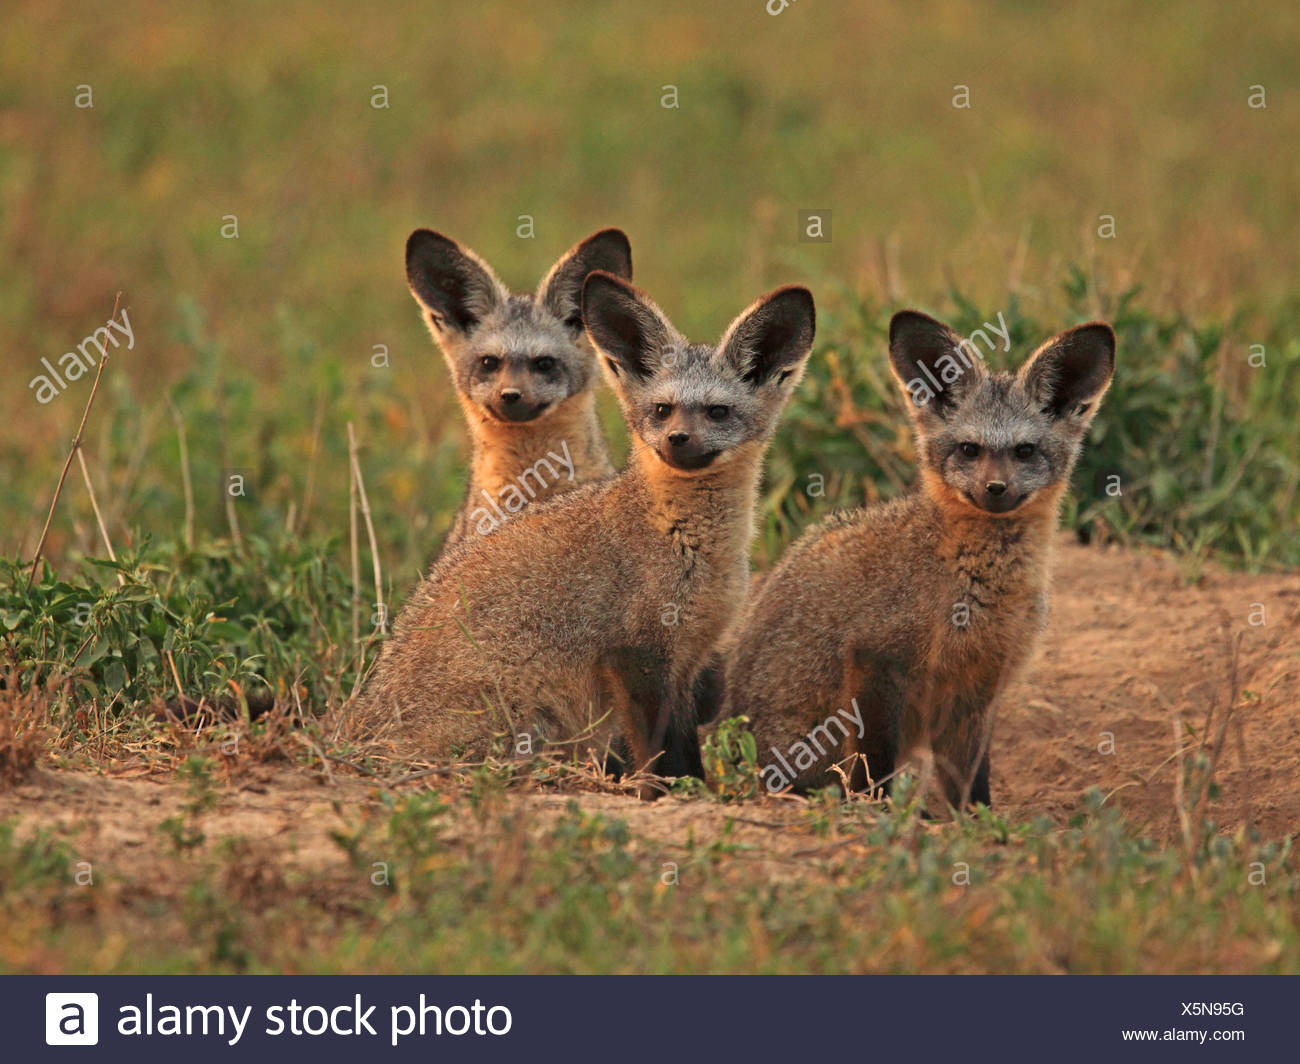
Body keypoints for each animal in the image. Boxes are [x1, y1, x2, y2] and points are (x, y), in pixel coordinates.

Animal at [361, 273, 816, 781]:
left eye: (717, 411)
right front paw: (667, 791)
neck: (689, 544)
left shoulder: (687, 661)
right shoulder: (636, 658)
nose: (677, 440)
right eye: (662, 411)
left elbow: (686, 754)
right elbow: (661, 759)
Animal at [716, 309, 1115, 810]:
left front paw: (978, 821)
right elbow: (873, 769)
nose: (995, 489)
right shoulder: (876, 660)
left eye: (1025, 451)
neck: (977, 584)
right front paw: (878, 814)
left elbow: (972, 786)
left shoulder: (978, 690)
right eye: (969, 450)